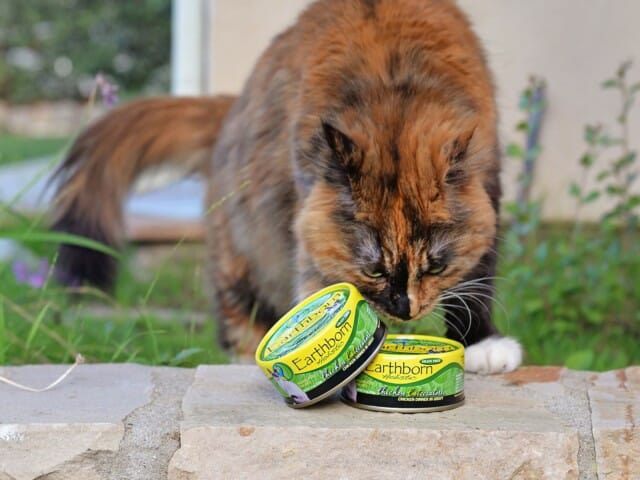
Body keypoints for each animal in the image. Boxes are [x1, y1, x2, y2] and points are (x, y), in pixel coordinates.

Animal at [50, 0, 520, 374]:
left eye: (435, 267)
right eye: (372, 270)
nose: (405, 309)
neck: (394, 92)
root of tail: (231, 112)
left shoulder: (489, 195)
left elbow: (477, 280)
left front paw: (483, 344)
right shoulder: (307, 228)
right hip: (242, 262)